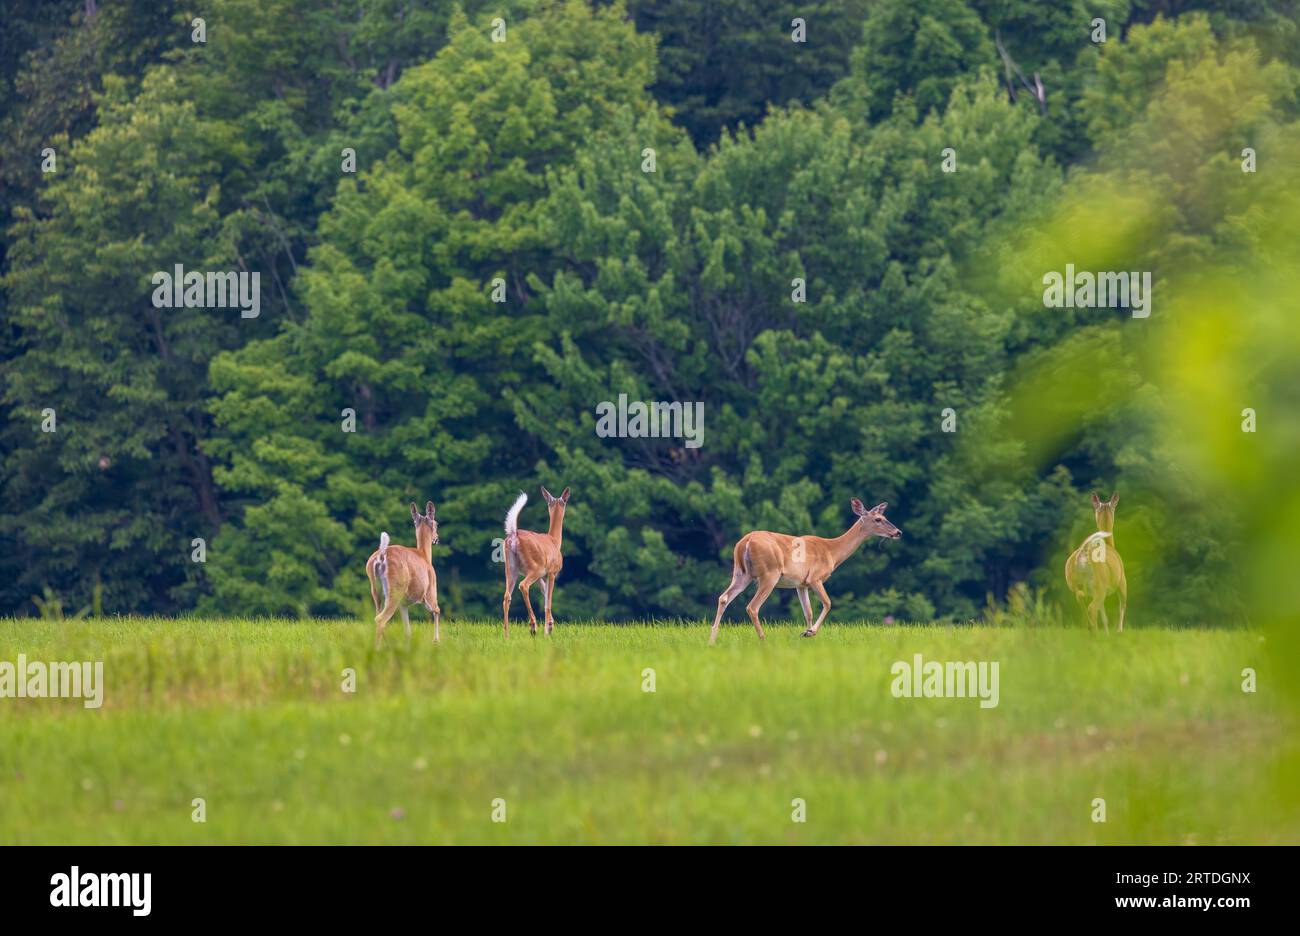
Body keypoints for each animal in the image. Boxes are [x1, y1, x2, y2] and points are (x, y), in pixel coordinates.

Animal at [366, 501, 442, 648]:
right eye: (436, 523)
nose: (437, 539)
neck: (425, 556)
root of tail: (380, 557)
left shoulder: (404, 603)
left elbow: (408, 630)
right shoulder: (430, 590)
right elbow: (437, 610)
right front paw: (436, 640)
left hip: (376, 590)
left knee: (378, 616)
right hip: (396, 588)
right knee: (381, 619)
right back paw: (377, 648)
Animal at [502, 486, 570, 637]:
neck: (554, 541)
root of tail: (513, 535)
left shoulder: (541, 577)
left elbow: (545, 596)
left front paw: (551, 624)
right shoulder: (551, 572)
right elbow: (548, 601)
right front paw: (547, 630)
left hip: (511, 568)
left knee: (507, 596)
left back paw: (506, 635)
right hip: (535, 568)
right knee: (523, 586)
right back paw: (533, 626)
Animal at [710, 498, 902, 645]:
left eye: (884, 516)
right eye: (878, 519)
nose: (898, 532)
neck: (832, 552)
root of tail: (746, 542)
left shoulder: (801, 584)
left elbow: (808, 611)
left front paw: (807, 633)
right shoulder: (815, 578)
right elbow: (828, 603)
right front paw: (810, 632)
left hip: (742, 573)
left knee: (723, 597)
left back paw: (712, 639)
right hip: (769, 574)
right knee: (752, 607)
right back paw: (763, 640)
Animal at [1064, 491, 1127, 632]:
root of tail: (1083, 554)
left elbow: (1104, 616)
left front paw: (1108, 633)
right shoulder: (1122, 580)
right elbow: (1122, 606)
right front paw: (1118, 631)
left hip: (1073, 582)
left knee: (1081, 602)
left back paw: (1088, 629)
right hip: (1100, 585)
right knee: (1092, 608)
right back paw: (1095, 632)